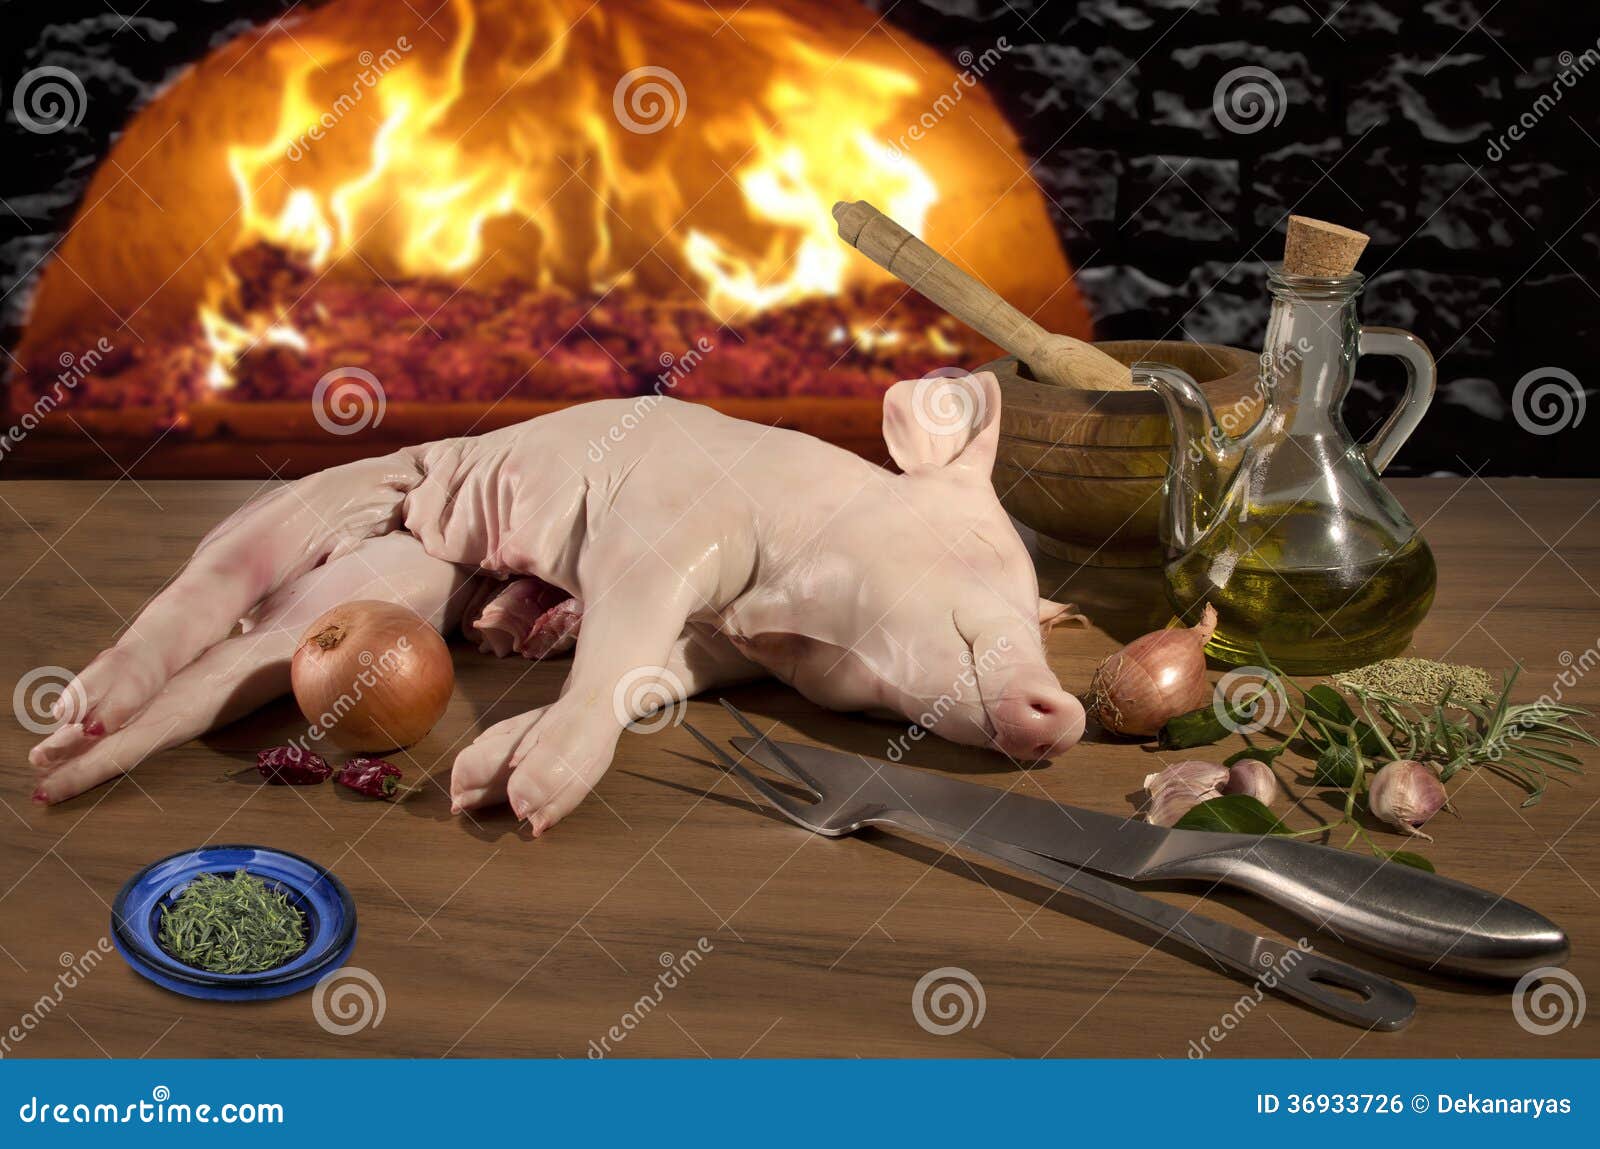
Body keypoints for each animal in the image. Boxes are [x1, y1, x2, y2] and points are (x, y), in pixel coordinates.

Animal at [30, 371, 1086, 831]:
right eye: (981, 553)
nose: (1068, 714)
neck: (781, 607)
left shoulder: (712, 646)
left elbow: (637, 675)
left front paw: (487, 775)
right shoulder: (658, 537)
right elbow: (617, 651)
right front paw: (537, 801)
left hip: (374, 589)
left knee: (227, 675)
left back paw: (57, 773)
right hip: (333, 504)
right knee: (208, 584)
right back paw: (76, 707)